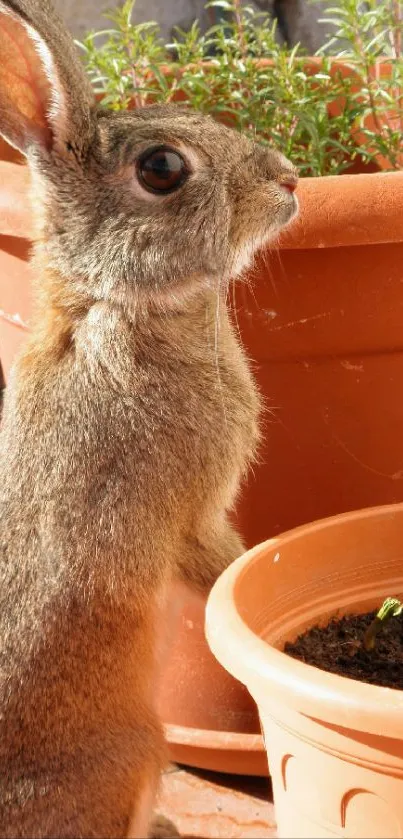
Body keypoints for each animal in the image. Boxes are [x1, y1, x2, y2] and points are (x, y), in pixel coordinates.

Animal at [0, 0, 298, 836]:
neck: (116, 303)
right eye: (162, 170)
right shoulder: (192, 512)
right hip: (130, 751)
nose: (287, 178)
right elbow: (225, 567)